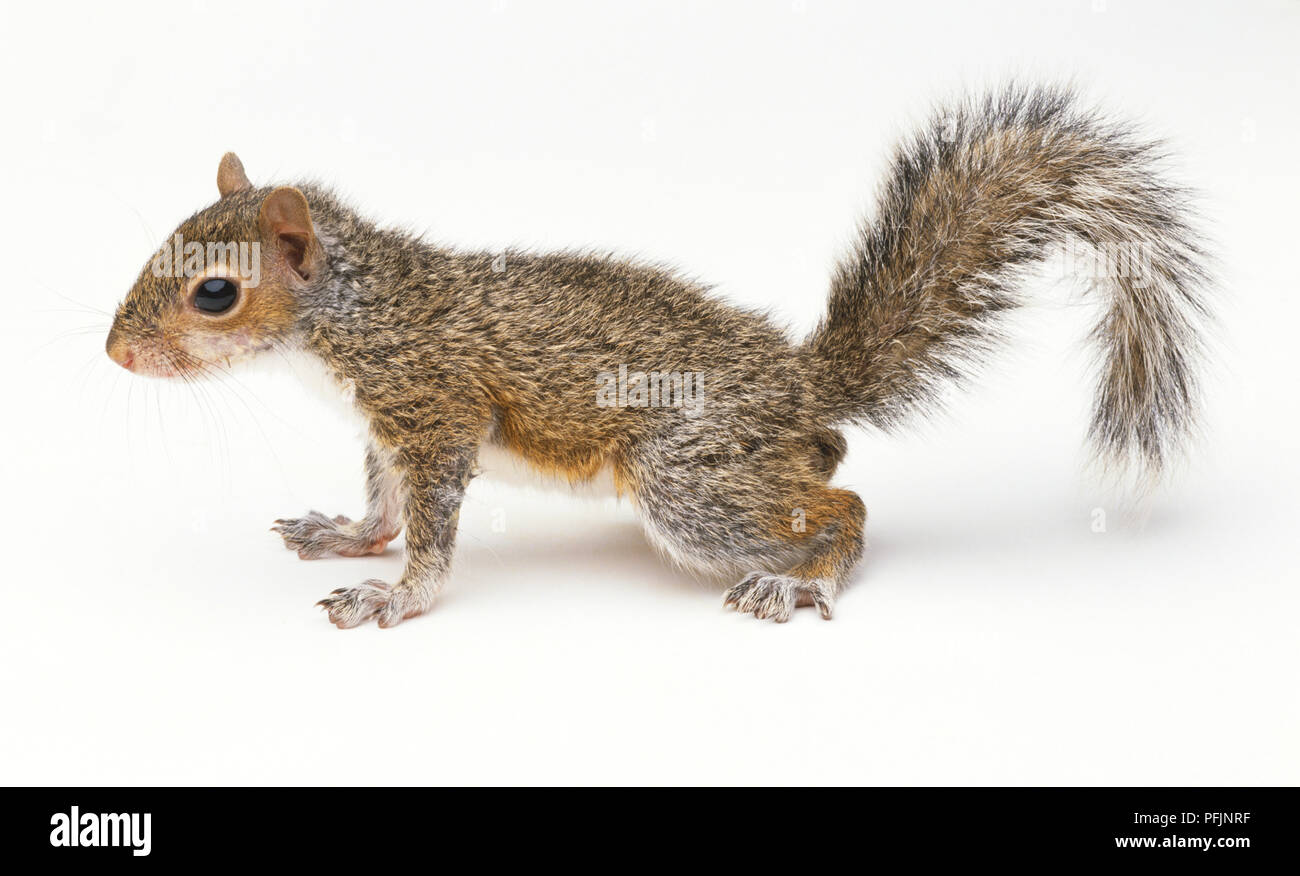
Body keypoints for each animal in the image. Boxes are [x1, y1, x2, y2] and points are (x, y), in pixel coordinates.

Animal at [106, 85, 1211, 628]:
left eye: (215, 292)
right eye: (167, 235)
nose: (115, 355)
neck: (349, 313)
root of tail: (799, 386)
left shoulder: (433, 407)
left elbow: (431, 530)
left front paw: (397, 597)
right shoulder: (388, 428)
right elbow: (384, 504)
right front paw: (346, 535)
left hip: (690, 479)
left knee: (844, 505)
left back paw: (802, 582)